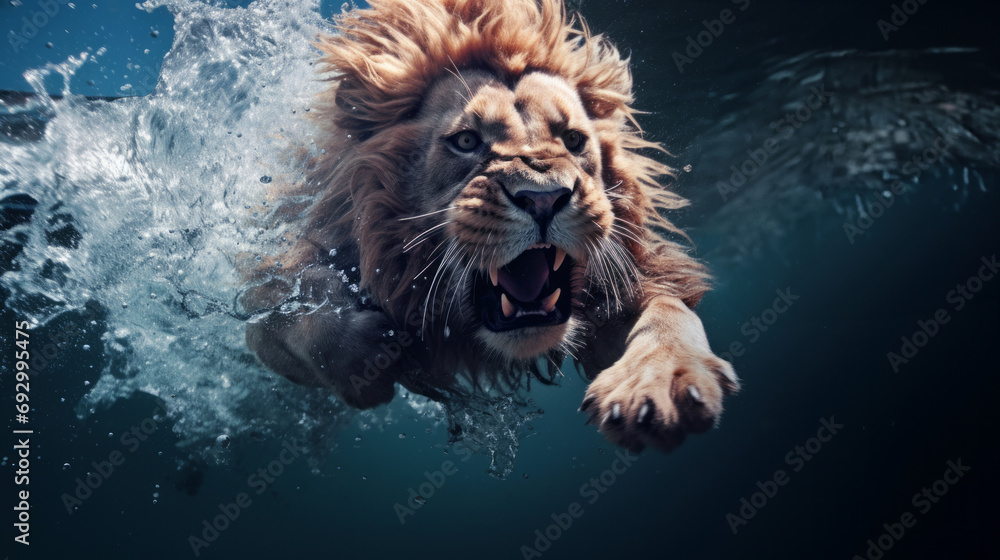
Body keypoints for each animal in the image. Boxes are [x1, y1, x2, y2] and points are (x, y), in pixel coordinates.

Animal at [241, 0, 739, 452]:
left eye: (573, 140)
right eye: (466, 141)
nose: (544, 198)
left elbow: (669, 311)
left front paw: (659, 383)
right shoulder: (271, 294)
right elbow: (293, 306)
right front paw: (367, 350)